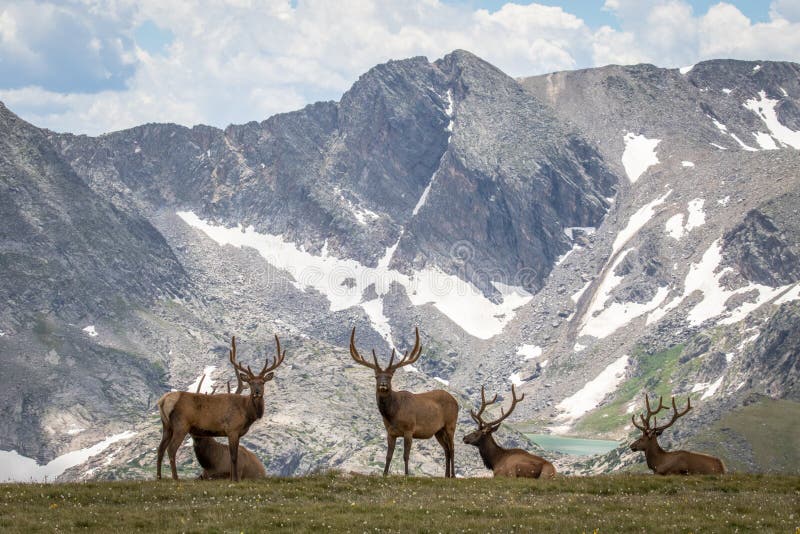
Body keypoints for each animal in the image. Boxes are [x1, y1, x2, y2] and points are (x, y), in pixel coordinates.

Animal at [156, 335, 285, 481]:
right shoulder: (232, 429)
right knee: (171, 449)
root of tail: (163, 400)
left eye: (262, 382)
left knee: (160, 449)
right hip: (181, 425)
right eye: (251, 383)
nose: (257, 392)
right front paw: (235, 480)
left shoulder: (235, 433)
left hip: (166, 425)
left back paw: (159, 477)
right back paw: (175, 478)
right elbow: (233, 456)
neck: (246, 413)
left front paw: (232, 478)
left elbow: (234, 456)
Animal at [349, 327, 459, 477]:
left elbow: (406, 455)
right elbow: (388, 456)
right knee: (446, 450)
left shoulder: (409, 429)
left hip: (450, 424)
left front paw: (406, 475)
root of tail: (456, 402)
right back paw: (446, 475)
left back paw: (453, 475)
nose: (383, 384)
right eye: (376, 376)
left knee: (452, 448)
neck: (393, 414)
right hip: (438, 431)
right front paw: (384, 474)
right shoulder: (390, 432)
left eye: (390, 376)